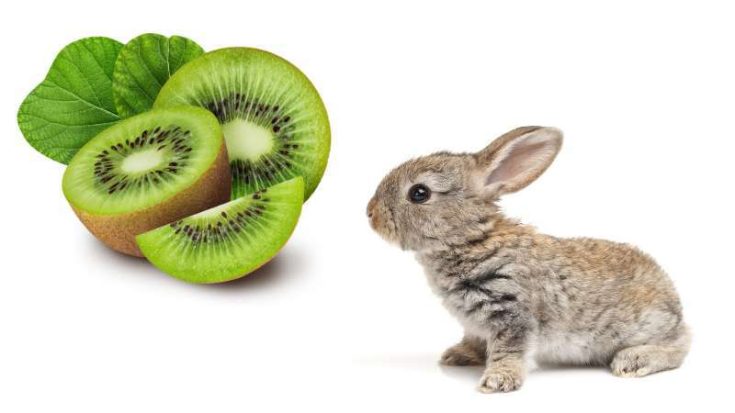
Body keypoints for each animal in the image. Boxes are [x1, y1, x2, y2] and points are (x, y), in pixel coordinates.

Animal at [366, 126, 690, 393]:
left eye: (419, 193)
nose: (370, 214)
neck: (471, 238)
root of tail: (674, 301)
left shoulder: (511, 313)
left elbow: (508, 350)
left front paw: (498, 381)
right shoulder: (475, 324)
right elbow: (474, 339)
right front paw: (459, 355)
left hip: (647, 326)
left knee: (681, 345)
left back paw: (635, 359)